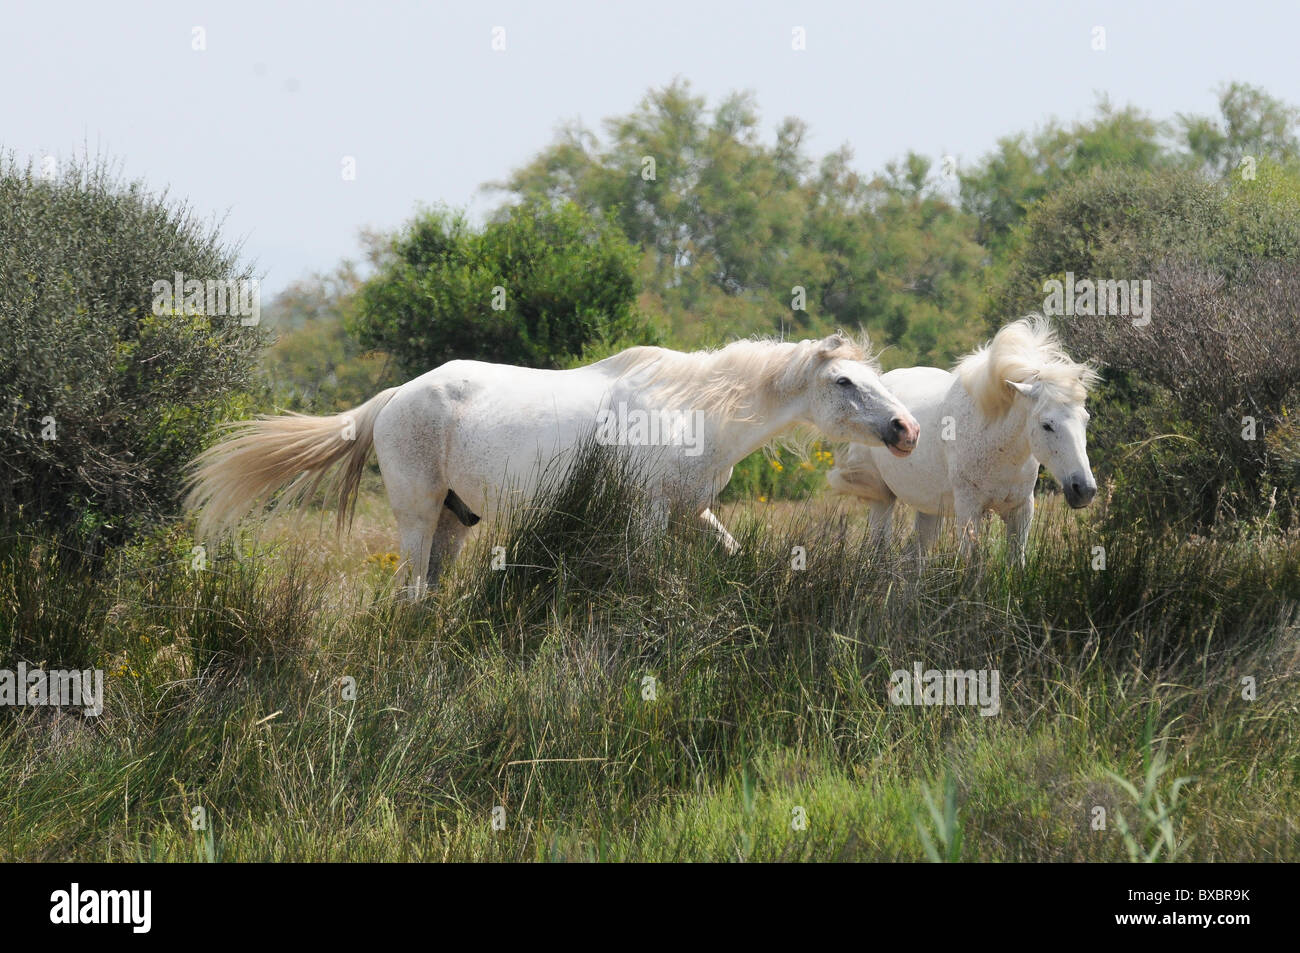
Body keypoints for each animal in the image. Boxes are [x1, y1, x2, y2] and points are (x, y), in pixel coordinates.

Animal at [185, 332, 920, 597]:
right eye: (844, 382)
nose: (906, 429)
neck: (689, 408)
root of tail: (395, 397)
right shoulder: (647, 515)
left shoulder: (694, 512)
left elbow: (731, 554)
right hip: (418, 516)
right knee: (412, 590)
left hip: (455, 520)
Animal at [827, 316, 1099, 563]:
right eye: (1046, 425)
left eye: (1085, 419)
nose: (1084, 490)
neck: (997, 446)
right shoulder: (969, 511)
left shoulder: (1021, 511)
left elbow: (1015, 565)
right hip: (881, 498)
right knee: (879, 549)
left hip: (928, 508)